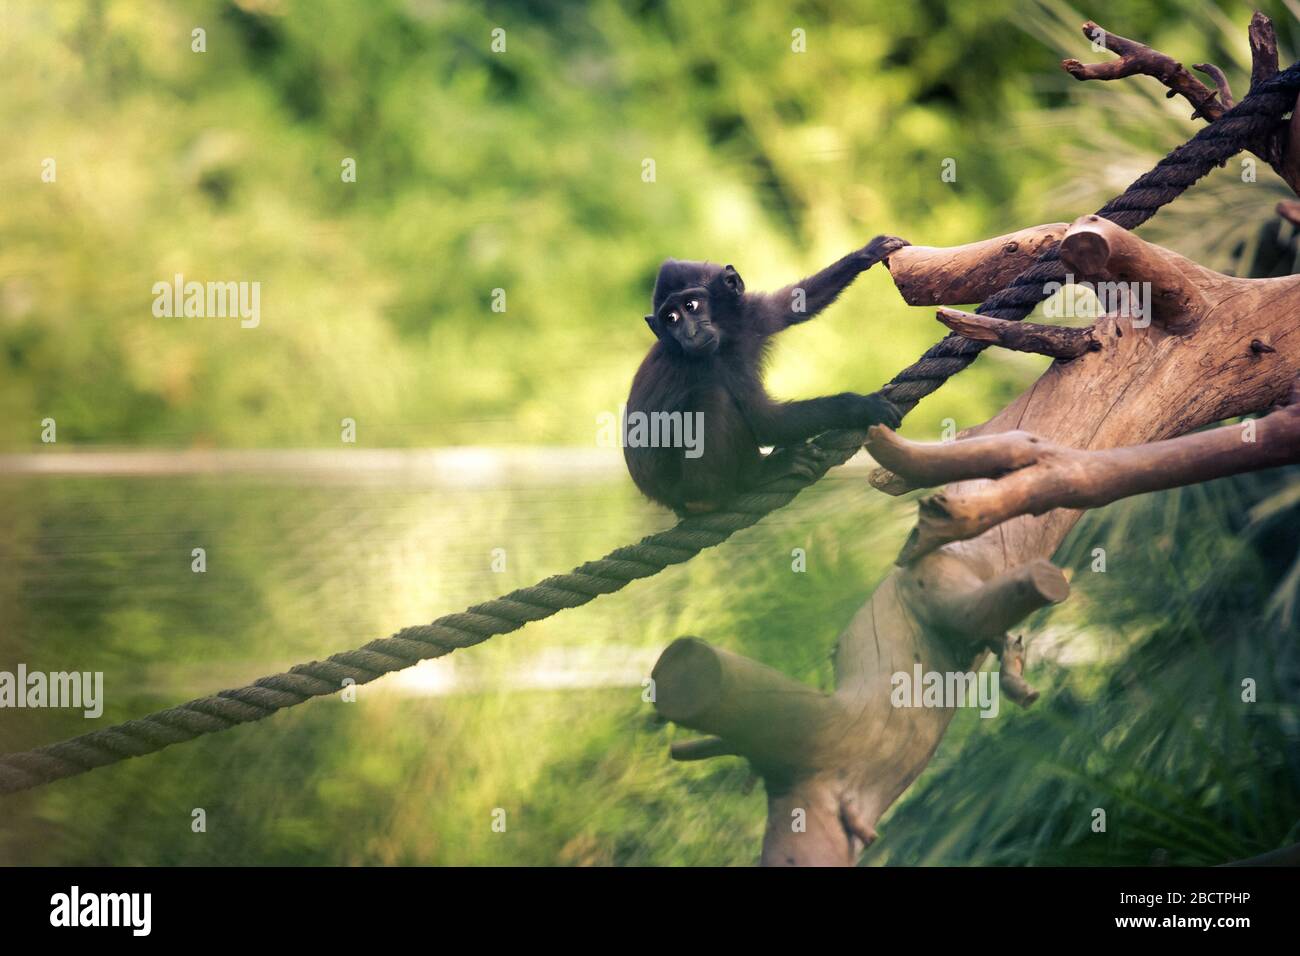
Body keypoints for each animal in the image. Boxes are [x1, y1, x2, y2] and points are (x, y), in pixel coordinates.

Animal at [624, 236, 904, 516]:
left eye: (691, 306)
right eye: (671, 318)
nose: (689, 333)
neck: (728, 336)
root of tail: (669, 502)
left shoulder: (752, 313)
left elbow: (793, 304)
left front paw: (866, 254)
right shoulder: (710, 363)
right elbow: (764, 419)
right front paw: (861, 405)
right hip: (690, 487)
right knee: (714, 398)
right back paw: (757, 475)